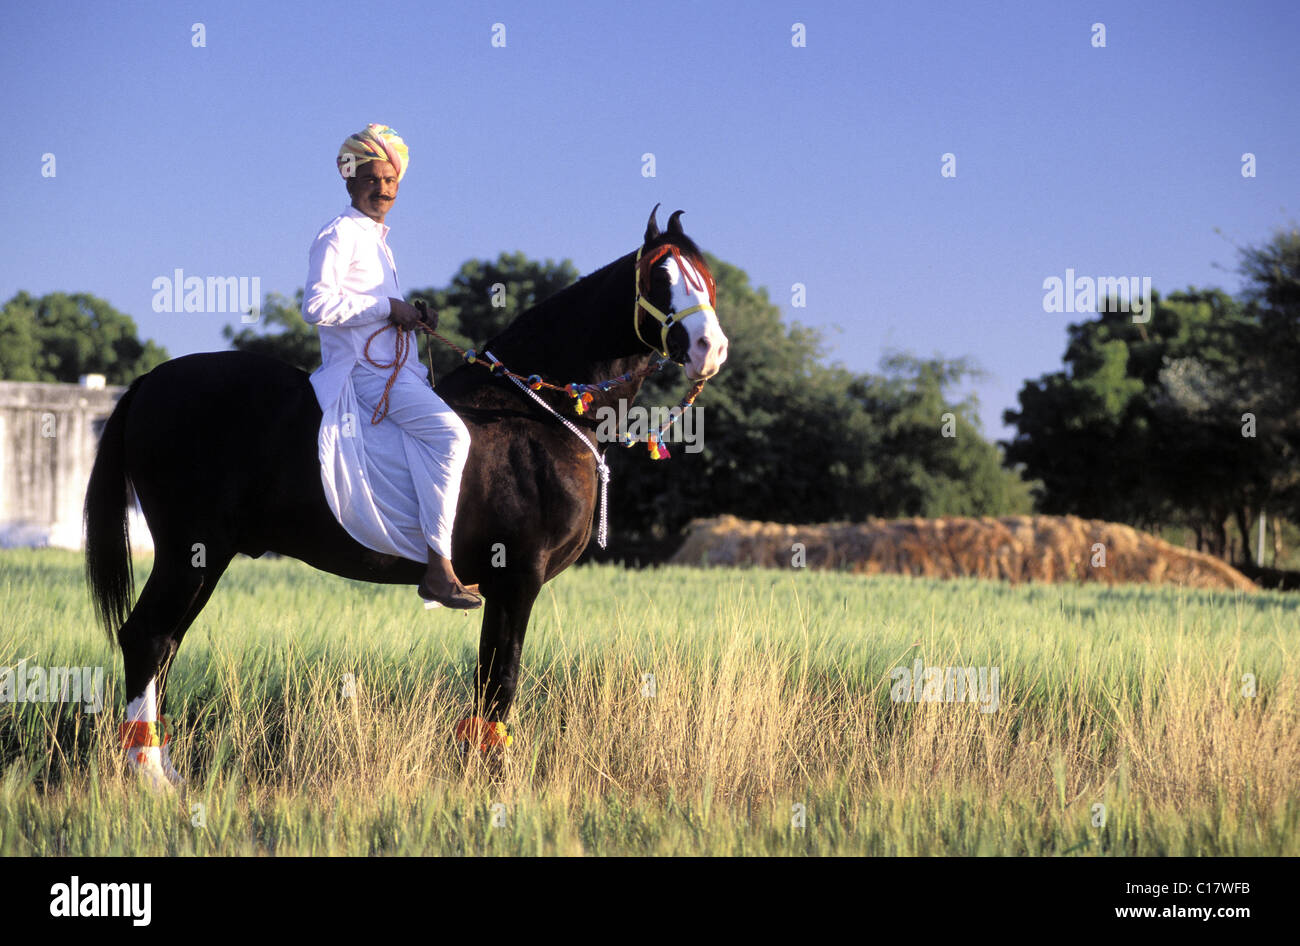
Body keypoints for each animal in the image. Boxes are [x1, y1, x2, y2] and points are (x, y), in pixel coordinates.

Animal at [84, 206, 729, 787]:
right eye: (660, 278)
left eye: (706, 277)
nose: (711, 348)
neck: (533, 411)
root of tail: (150, 381)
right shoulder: (516, 579)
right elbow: (501, 681)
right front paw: (492, 785)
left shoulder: (504, 587)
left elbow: (489, 680)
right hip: (191, 554)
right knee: (148, 638)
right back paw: (152, 779)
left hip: (204, 559)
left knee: (164, 645)